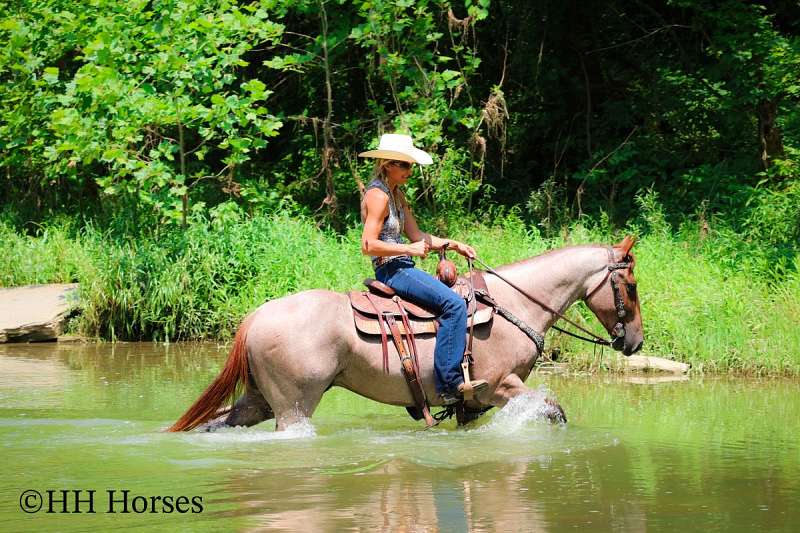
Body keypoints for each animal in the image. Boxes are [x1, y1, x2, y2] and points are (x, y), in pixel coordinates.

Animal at [168, 236, 643, 432]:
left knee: (218, 424)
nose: (634, 342)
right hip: (293, 405)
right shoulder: (500, 386)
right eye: (632, 285)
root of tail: (256, 316)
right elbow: (553, 410)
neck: (515, 305)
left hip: (260, 400)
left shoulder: (473, 404)